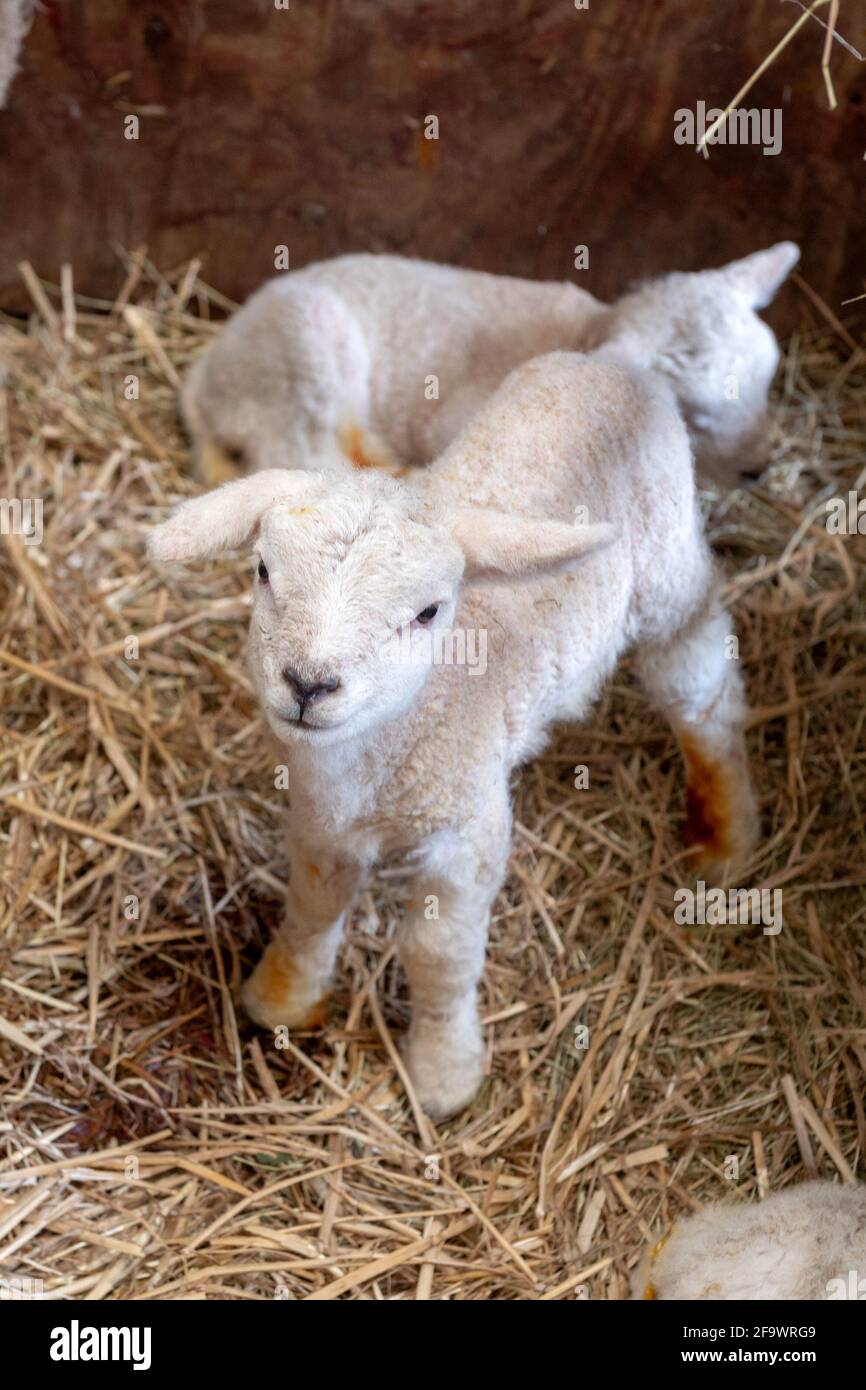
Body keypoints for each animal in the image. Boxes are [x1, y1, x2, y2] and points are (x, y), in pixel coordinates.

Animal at [149, 349, 758, 1119]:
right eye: (262, 570)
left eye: (428, 612)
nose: (309, 684)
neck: (390, 743)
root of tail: (616, 364)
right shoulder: (322, 819)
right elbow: (315, 905)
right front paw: (283, 997)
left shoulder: (466, 827)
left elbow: (438, 951)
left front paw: (443, 1071)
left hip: (668, 576)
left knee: (704, 693)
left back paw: (728, 836)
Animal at [181, 243, 799, 491]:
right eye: (690, 416)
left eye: (768, 382)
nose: (759, 470)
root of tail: (205, 371)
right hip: (301, 344)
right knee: (295, 455)